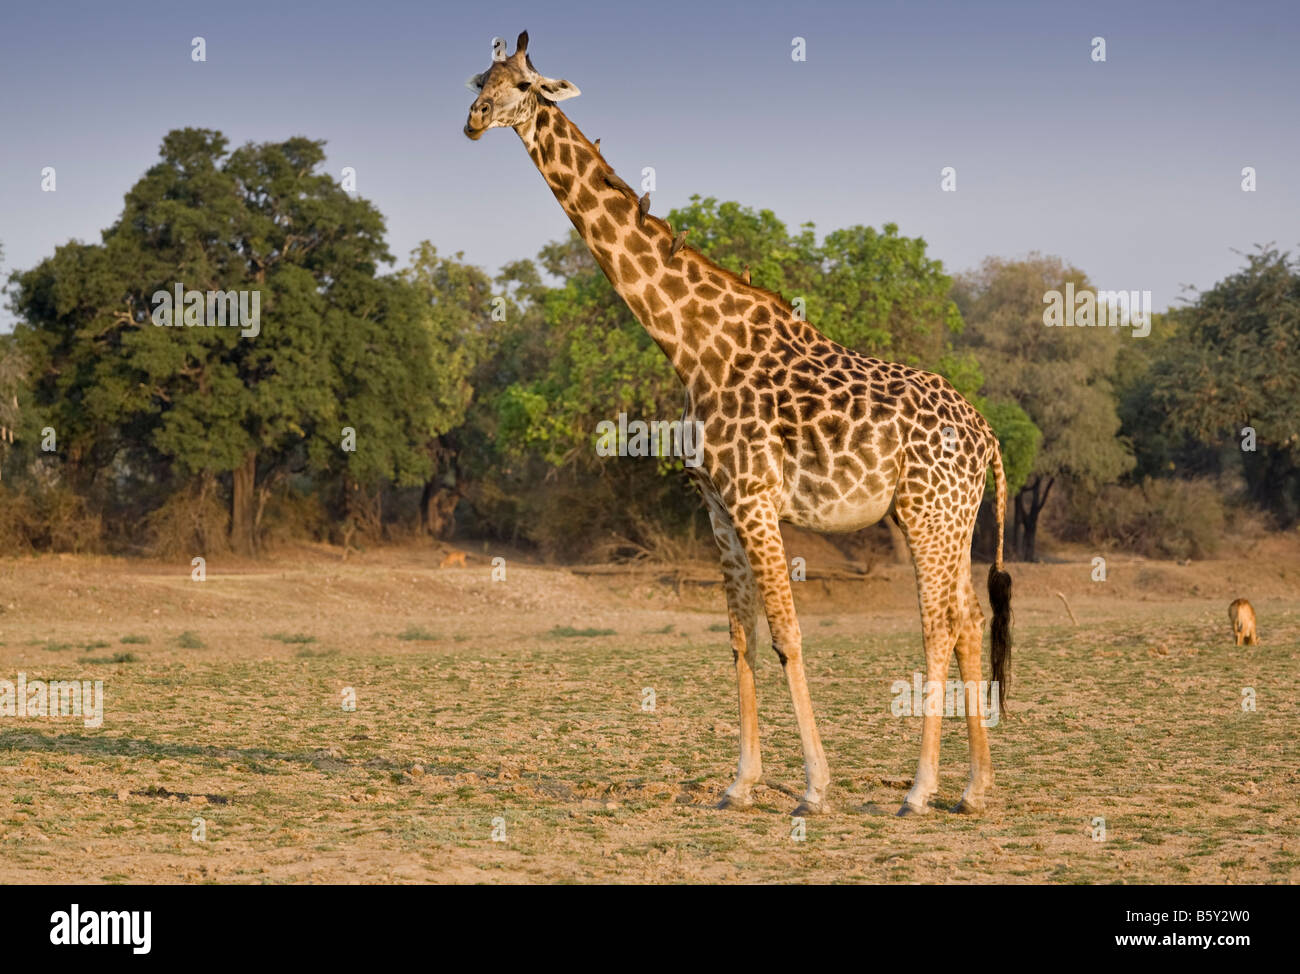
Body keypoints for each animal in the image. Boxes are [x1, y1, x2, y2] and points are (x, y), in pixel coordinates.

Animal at [465, 33, 1013, 817]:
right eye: (479, 79)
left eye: (523, 85)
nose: (474, 119)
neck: (692, 345)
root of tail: (988, 436)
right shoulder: (719, 508)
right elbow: (739, 638)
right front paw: (741, 784)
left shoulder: (755, 500)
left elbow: (788, 634)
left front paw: (814, 789)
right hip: (950, 516)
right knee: (968, 621)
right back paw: (973, 788)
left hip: (928, 512)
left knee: (938, 626)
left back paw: (919, 790)